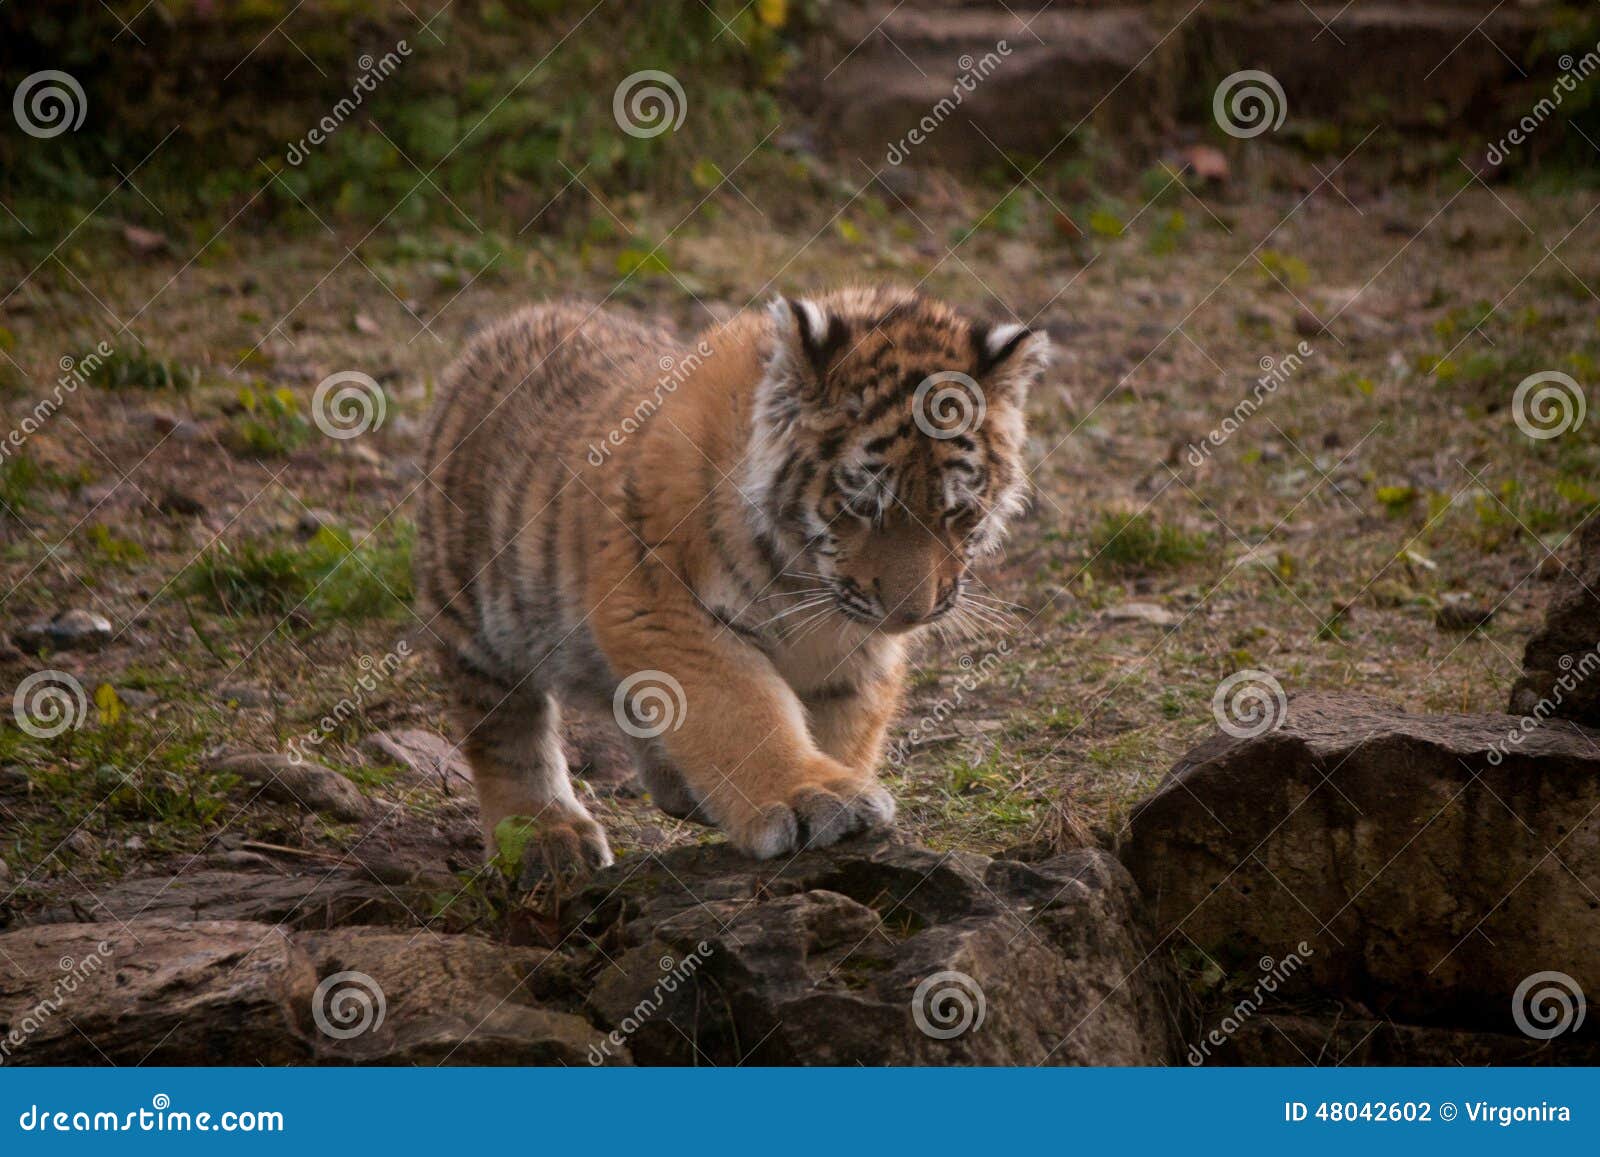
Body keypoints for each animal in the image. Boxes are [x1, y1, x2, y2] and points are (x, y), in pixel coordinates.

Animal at [413, 286, 1049, 869]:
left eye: (958, 510)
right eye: (862, 505)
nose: (909, 613)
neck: (809, 582)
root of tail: (513, 320)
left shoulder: (857, 651)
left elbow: (842, 723)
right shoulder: (660, 603)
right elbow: (741, 710)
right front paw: (812, 798)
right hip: (478, 616)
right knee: (505, 731)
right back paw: (543, 836)